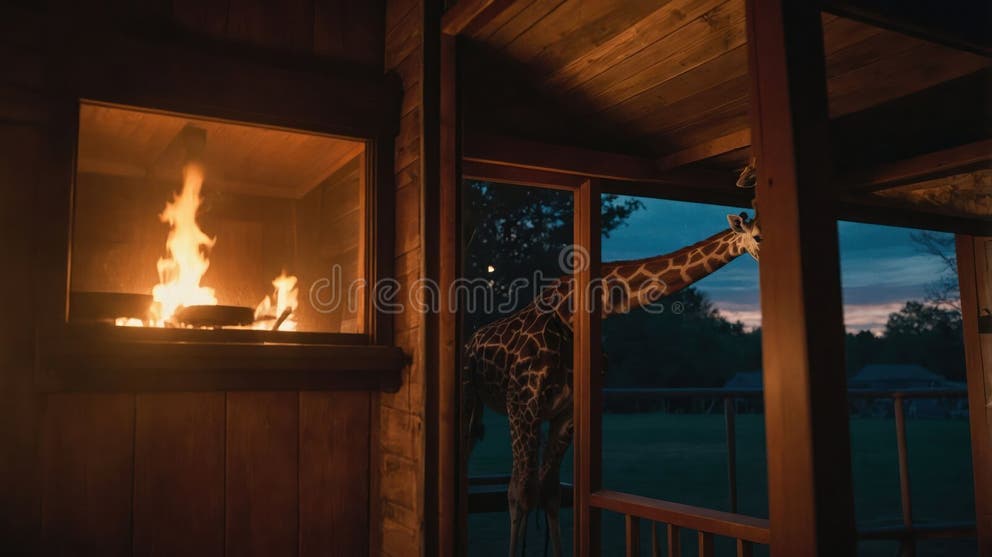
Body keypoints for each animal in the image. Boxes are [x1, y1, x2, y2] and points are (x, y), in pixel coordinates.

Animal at [461, 169, 761, 557]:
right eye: (757, 235)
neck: (579, 312)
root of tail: (470, 342)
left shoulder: (565, 412)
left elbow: (550, 492)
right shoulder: (523, 404)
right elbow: (518, 494)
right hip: (473, 400)